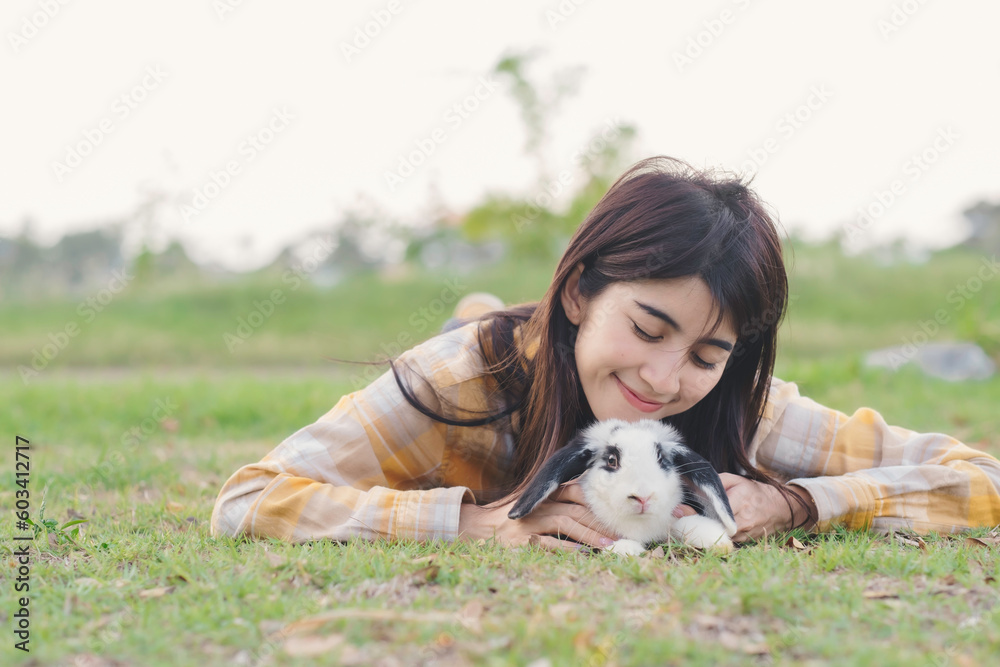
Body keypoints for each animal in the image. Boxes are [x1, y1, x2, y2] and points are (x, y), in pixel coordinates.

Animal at [508, 419, 738, 555]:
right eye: (611, 460)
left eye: (661, 459)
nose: (643, 497)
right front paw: (625, 550)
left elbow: (686, 523)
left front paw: (720, 542)